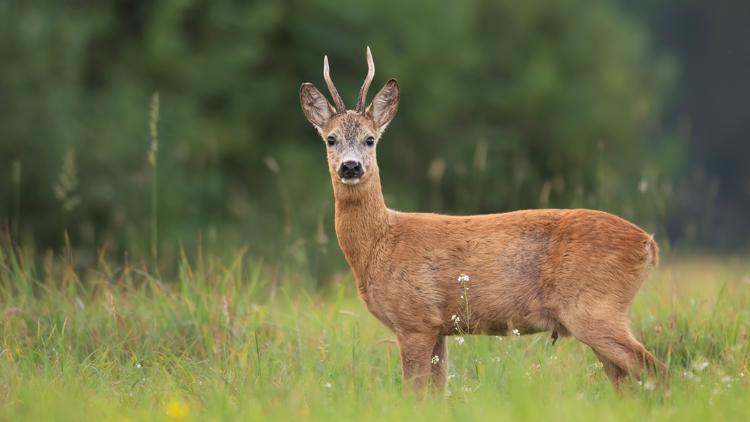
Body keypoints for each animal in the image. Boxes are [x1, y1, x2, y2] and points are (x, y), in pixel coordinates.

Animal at [299, 47, 668, 393]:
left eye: (370, 139)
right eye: (330, 138)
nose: (350, 167)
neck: (380, 244)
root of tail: (648, 245)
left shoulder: (415, 320)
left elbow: (414, 392)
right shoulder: (439, 328)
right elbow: (437, 393)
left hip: (594, 308)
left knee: (656, 370)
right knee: (627, 380)